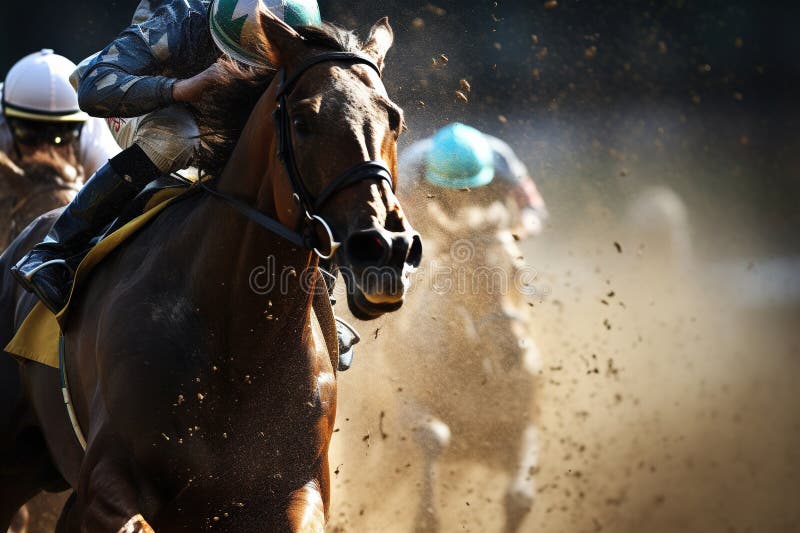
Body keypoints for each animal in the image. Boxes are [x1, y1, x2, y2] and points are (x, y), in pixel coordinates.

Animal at [0, 12, 420, 533]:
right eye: (302, 120)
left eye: (394, 119)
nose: (386, 249)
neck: (238, 345)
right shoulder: (106, 478)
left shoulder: (293, 490)